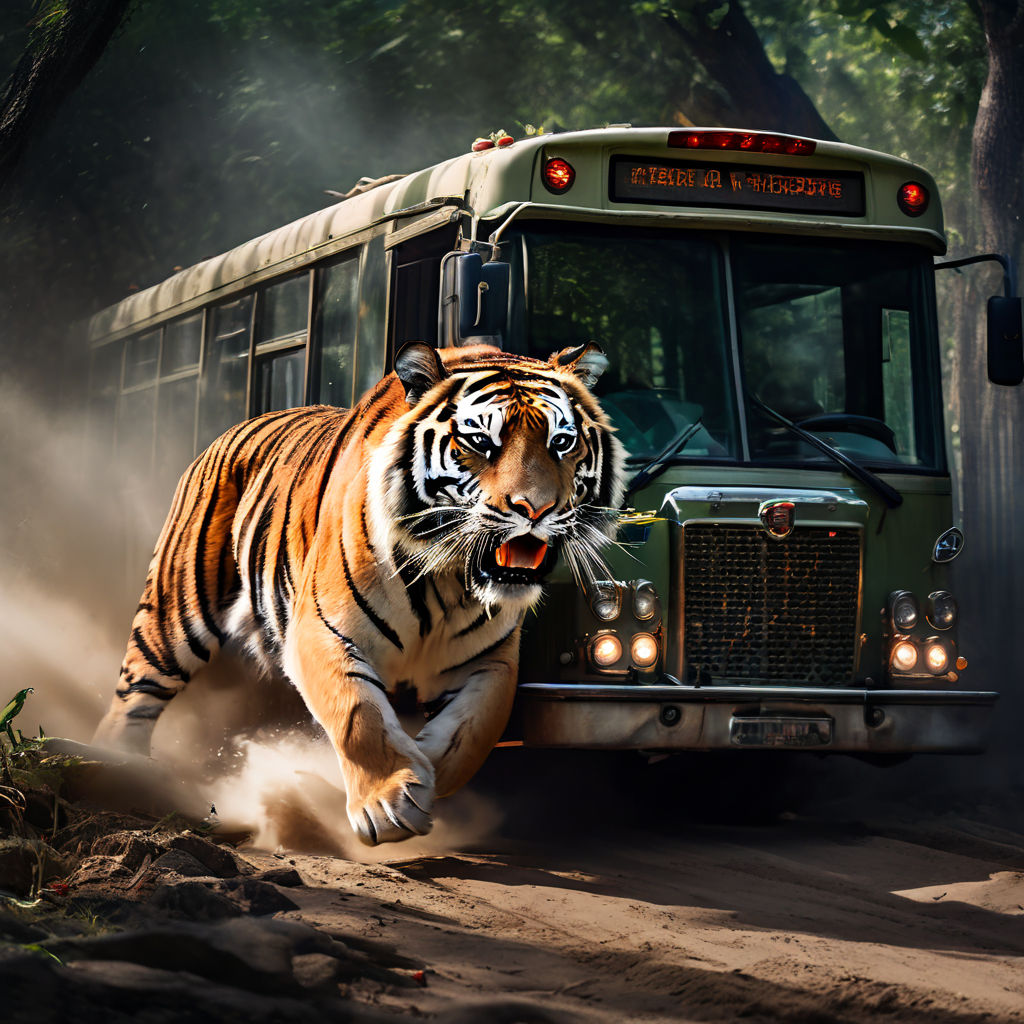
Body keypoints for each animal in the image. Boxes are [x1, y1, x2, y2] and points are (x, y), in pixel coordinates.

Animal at [93, 341, 625, 845]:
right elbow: (358, 715)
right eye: (479, 441)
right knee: (133, 696)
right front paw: (388, 805)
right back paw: (121, 769)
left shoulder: (488, 661)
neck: (448, 582)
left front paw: (420, 769)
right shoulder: (324, 632)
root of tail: (229, 431)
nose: (535, 509)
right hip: (175, 614)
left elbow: (472, 734)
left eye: (562, 443)